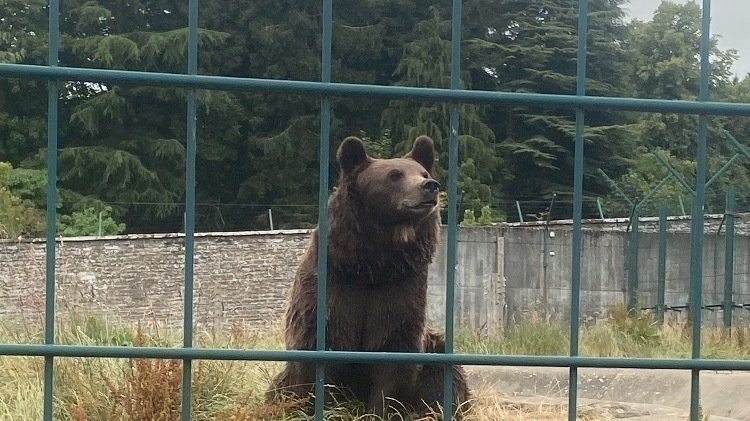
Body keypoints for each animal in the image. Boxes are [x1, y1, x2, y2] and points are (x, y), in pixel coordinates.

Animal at [265, 134, 471, 419]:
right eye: (394, 175)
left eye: (424, 173)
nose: (429, 187)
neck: (373, 266)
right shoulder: (332, 289)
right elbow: (321, 352)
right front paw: (327, 407)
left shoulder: (401, 289)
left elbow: (395, 358)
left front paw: (378, 410)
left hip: (435, 351)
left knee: (443, 375)